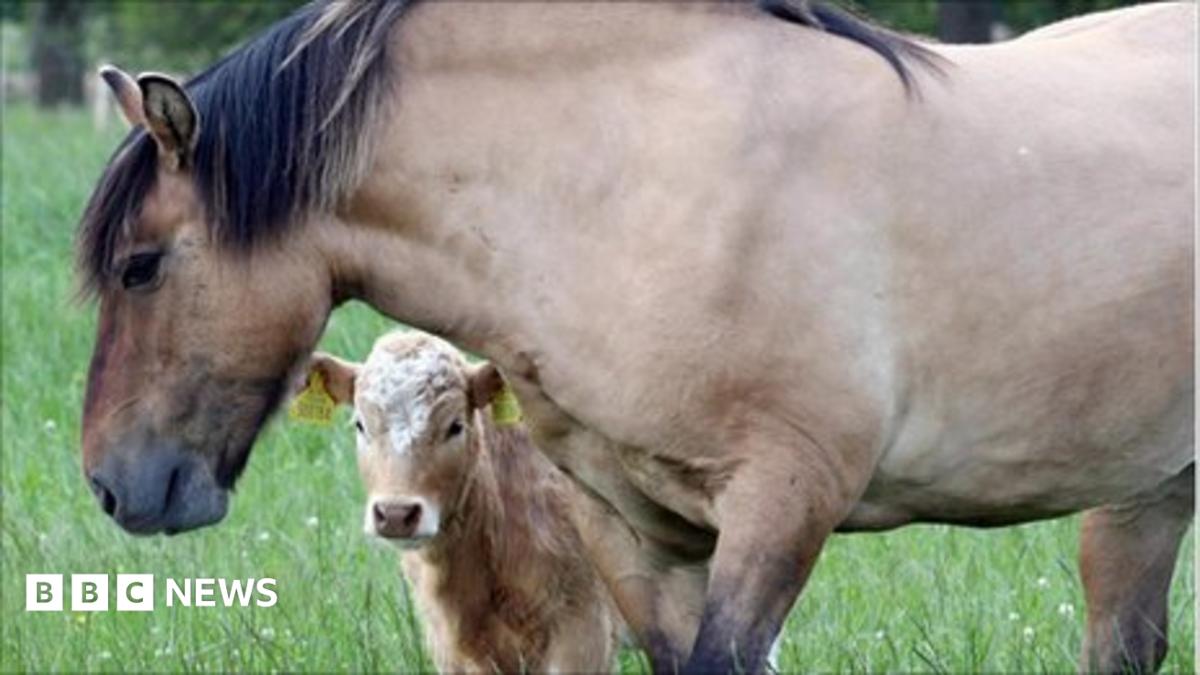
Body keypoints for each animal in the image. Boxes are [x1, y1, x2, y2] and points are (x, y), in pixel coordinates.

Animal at [77, 2, 1194, 673]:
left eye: (141, 266)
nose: (112, 484)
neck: (634, 179)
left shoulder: (782, 504)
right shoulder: (632, 527)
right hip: (1146, 495)